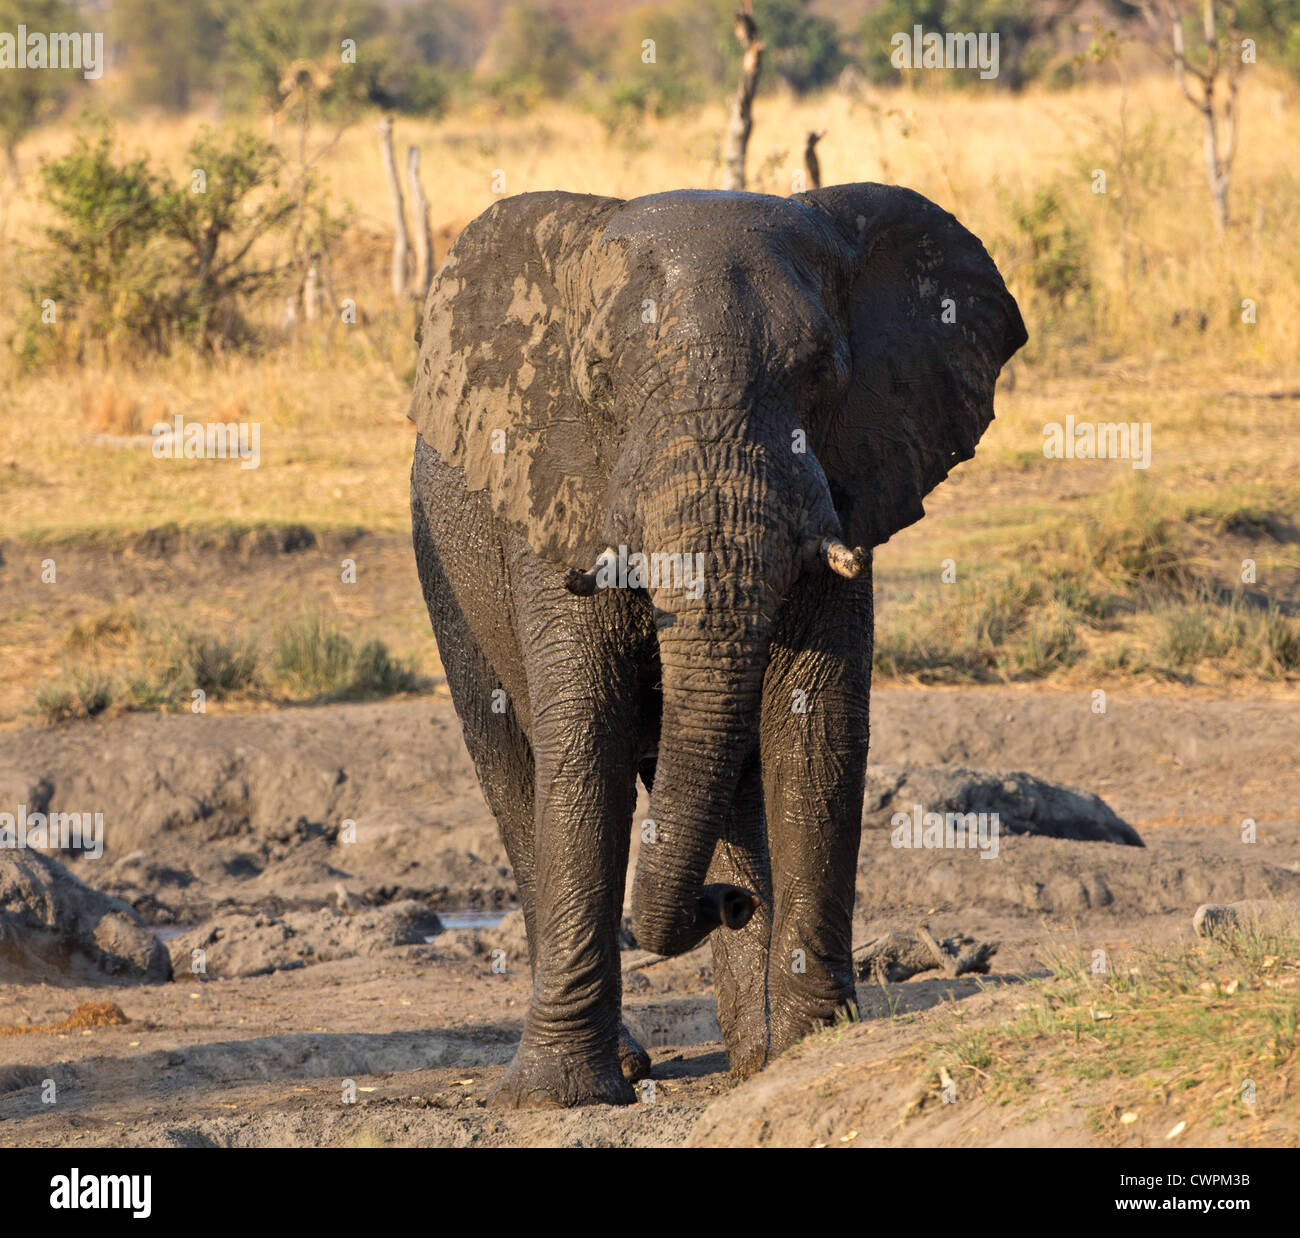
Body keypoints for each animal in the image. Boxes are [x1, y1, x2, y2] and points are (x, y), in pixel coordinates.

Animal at [408, 183, 1026, 1108]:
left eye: (824, 374)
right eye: (597, 380)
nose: (723, 902)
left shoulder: (850, 483)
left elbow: (813, 726)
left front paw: (812, 1051)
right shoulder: (552, 501)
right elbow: (584, 734)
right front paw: (558, 1099)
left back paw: (752, 1056)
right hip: (443, 567)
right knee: (512, 765)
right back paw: (636, 1060)